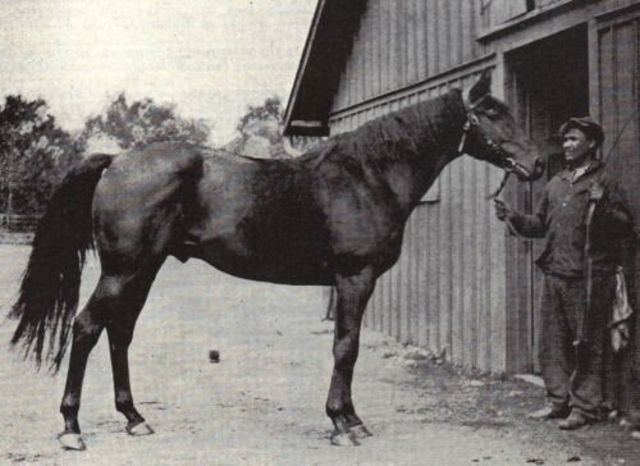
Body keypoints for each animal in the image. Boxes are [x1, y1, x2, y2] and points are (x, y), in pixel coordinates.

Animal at [8, 71, 543, 450]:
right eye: (491, 113)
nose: (538, 163)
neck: (368, 176)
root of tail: (116, 161)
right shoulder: (354, 278)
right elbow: (346, 348)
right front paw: (344, 423)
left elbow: (346, 348)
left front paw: (348, 418)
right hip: (123, 271)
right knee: (85, 328)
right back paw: (72, 428)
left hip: (145, 269)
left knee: (119, 333)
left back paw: (135, 419)